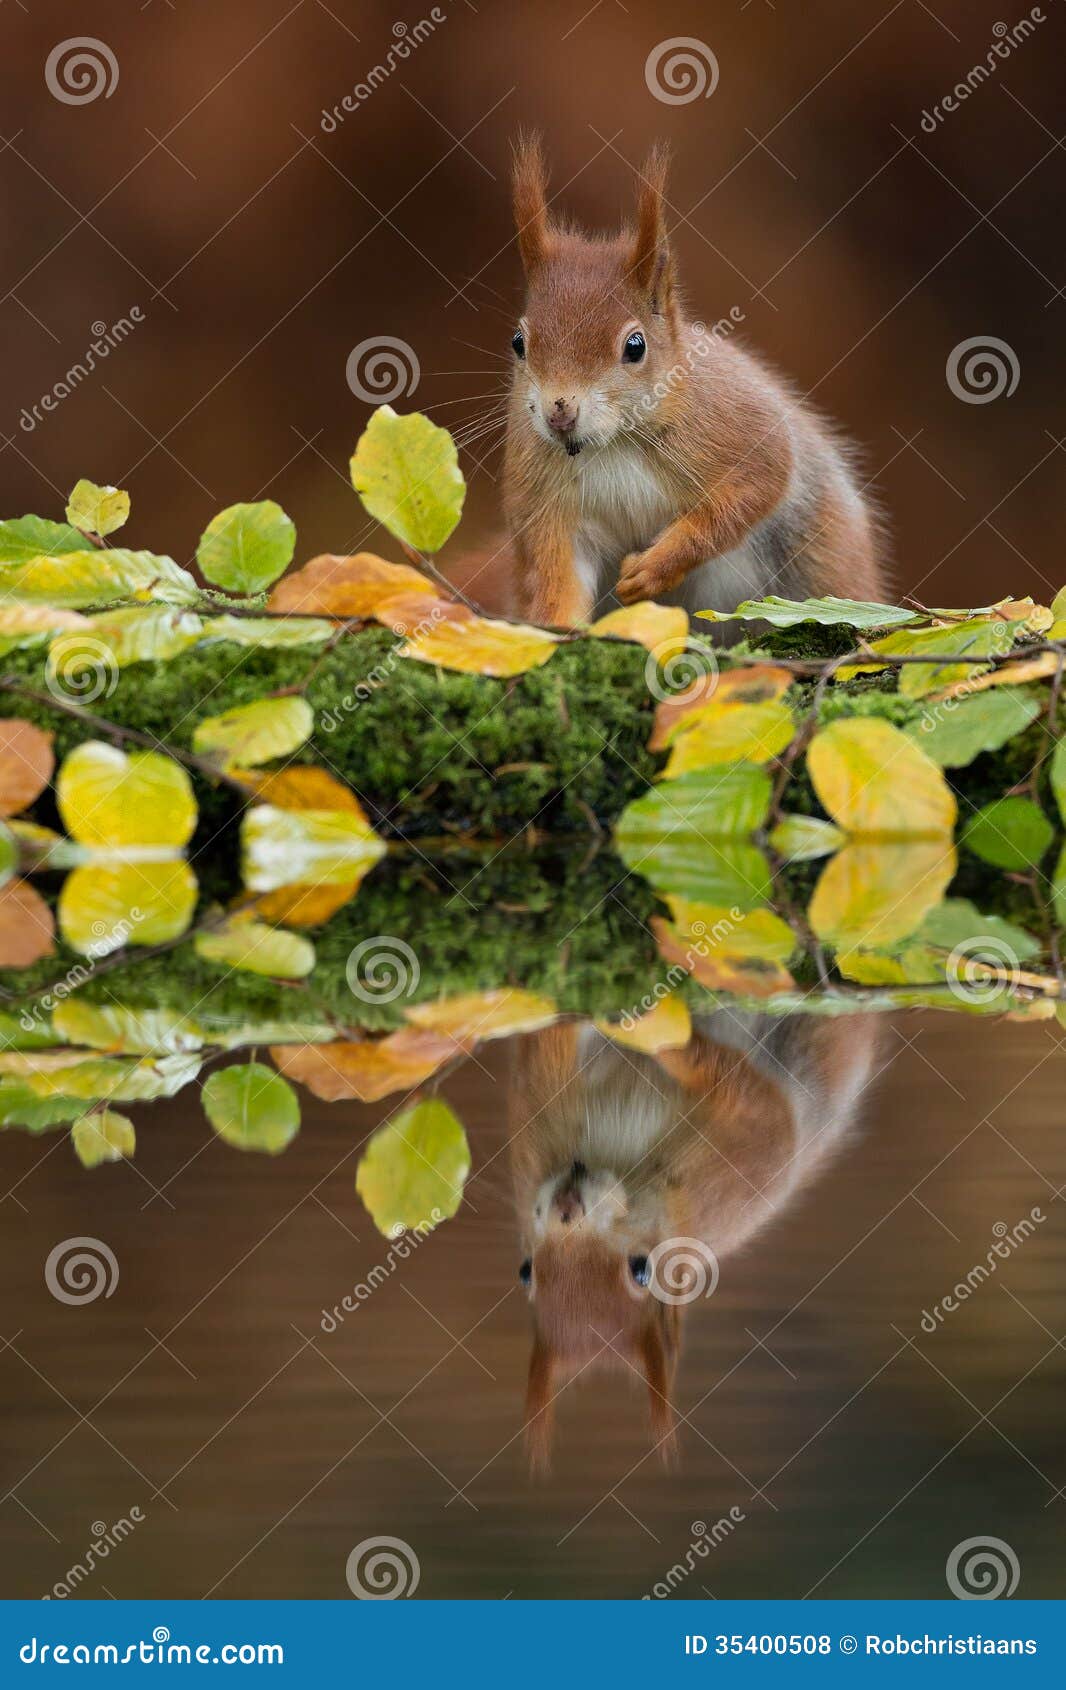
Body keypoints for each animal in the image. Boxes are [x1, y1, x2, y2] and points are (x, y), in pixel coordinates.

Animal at [502, 137, 884, 627]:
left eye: (635, 346)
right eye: (518, 342)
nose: (560, 411)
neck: (613, 444)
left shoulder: (738, 431)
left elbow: (750, 492)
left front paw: (652, 569)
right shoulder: (544, 504)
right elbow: (556, 578)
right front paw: (554, 628)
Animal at [510, 1013, 878, 1472]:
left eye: (642, 1269)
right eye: (525, 1271)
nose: (567, 1206)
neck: (616, 1154)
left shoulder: (747, 1146)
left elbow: (731, 1082)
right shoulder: (537, 1117)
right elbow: (545, 1052)